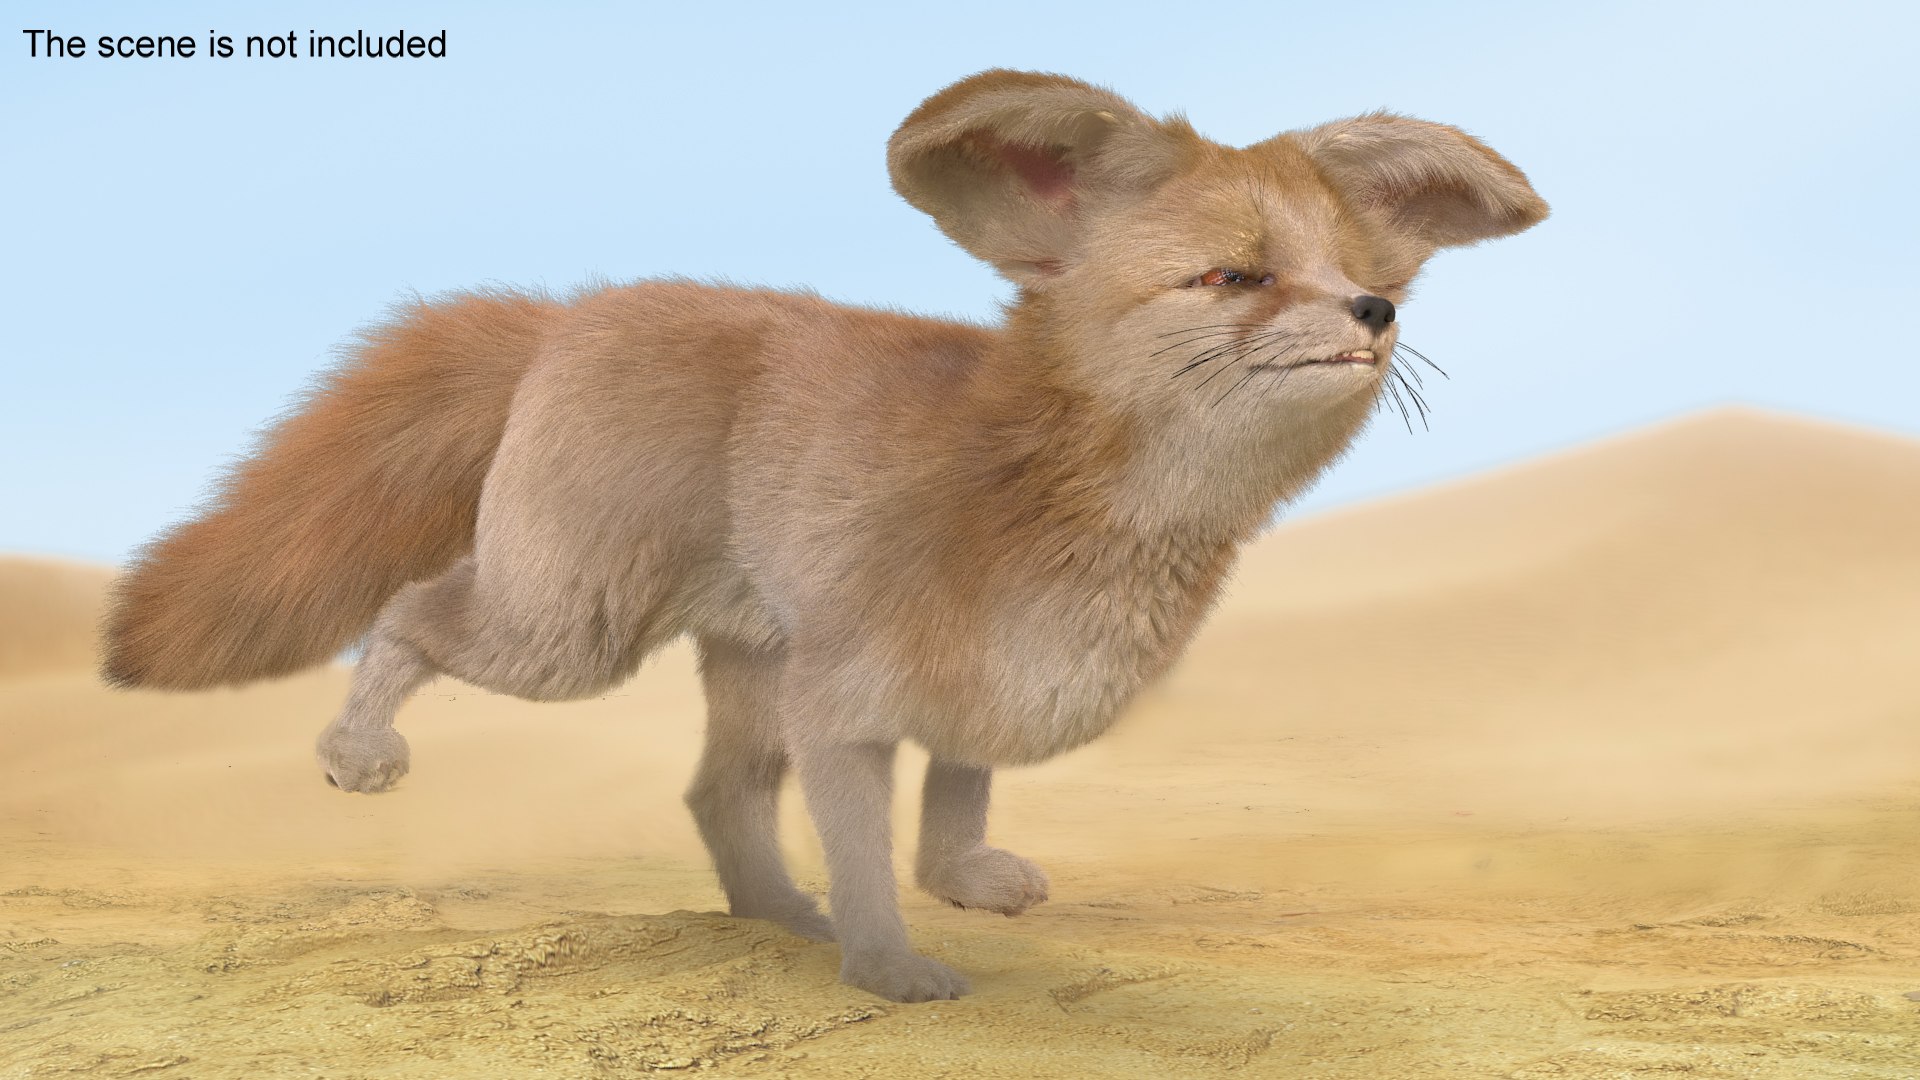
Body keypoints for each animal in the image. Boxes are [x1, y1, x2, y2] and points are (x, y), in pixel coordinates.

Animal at [102, 70, 1547, 1002]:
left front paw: (955, 881)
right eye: (1236, 276)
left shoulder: (972, 687)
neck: (1064, 513)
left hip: (740, 662)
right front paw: (890, 965)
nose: (1372, 316)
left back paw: (769, 917)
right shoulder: (843, 703)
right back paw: (360, 753)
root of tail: (569, 312)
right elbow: (867, 854)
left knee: (710, 792)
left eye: (1374, 275)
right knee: (408, 613)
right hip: (569, 632)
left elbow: (953, 803)